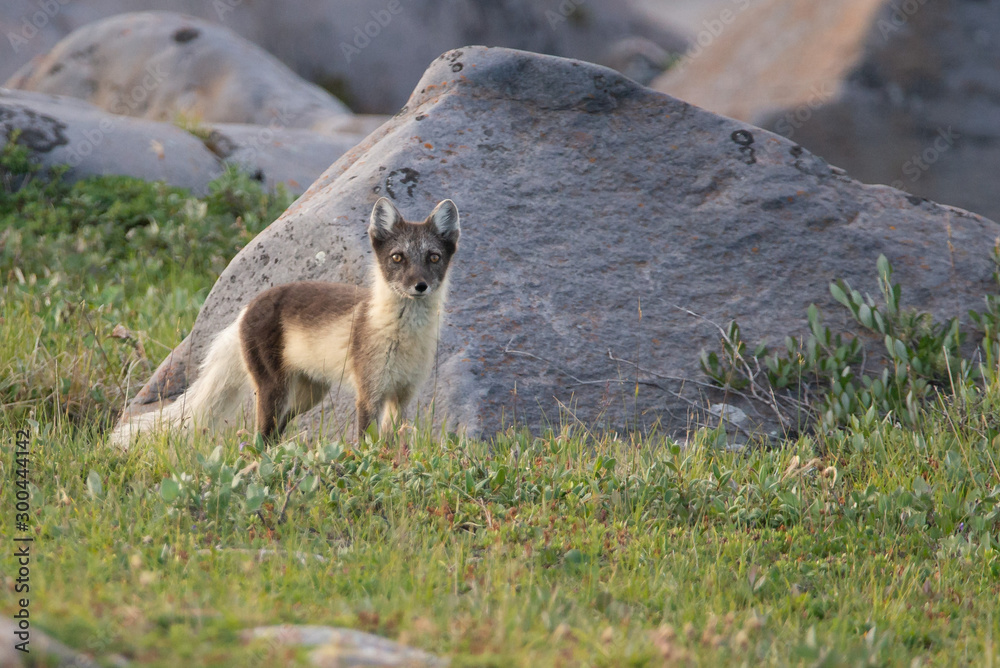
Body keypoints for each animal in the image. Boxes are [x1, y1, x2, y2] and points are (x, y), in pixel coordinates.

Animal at [109, 197, 460, 448]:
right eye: (397, 258)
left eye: (434, 258)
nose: (420, 286)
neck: (403, 337)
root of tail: (247, 307)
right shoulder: (369, 393)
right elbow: (366, 443)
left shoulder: (403, 394)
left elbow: (395, 442)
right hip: (273, 389)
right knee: (261, 437)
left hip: (306, 395)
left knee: (276, 432)